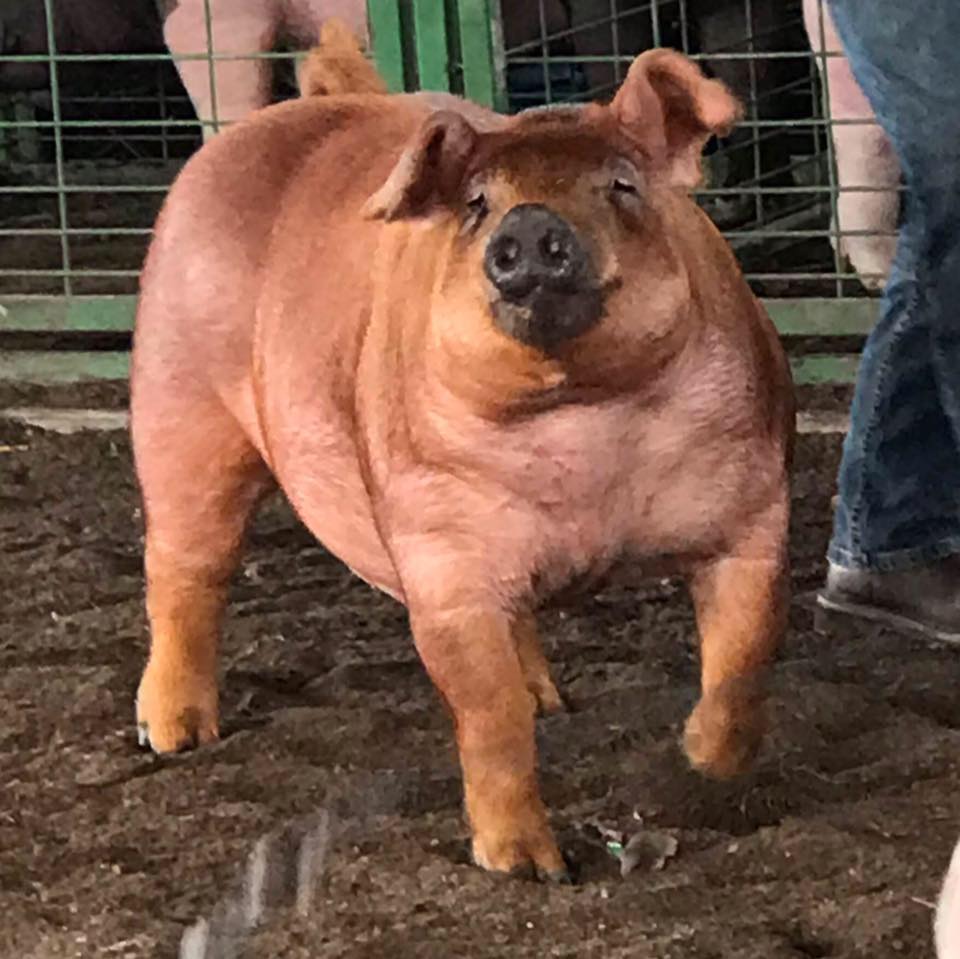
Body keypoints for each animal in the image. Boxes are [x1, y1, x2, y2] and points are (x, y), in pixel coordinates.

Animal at [131, 42, 795, 878]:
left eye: (620, 183)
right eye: (478, 203)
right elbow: (488, 708)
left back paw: (553, 700)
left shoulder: (752, 506)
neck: (580, 424)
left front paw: (701, 763)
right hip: (176, 401)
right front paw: (530, 867)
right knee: (184, 569)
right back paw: (174, 734)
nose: (531, 223)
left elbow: (744, 652)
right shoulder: (441, 554)